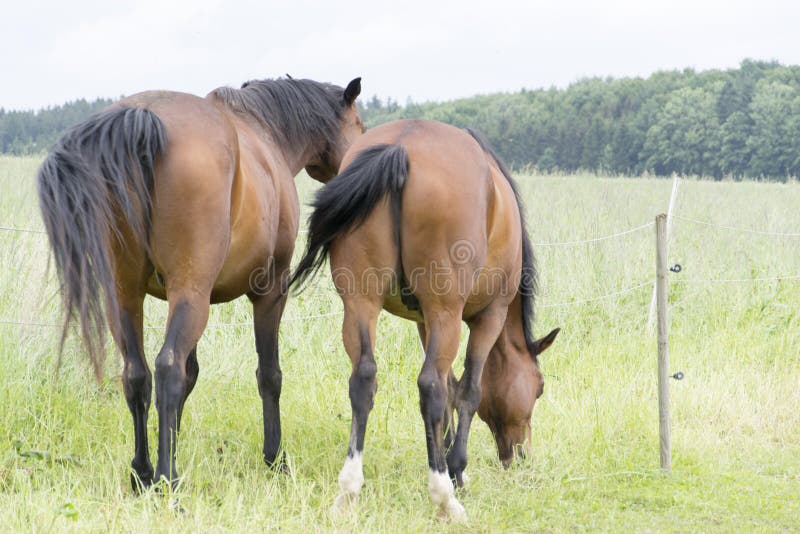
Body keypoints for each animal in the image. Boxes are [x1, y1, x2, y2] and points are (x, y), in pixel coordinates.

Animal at [36, 76, 364, 490]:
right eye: (360, 126)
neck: (265, 133)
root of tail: (142, 120)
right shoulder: (270, 293)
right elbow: (268, 375)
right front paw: (275, 458)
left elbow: (190, 376)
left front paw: (174, 441)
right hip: (189, 295)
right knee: (167, 368)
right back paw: (167, 478)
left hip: (128, 296)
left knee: (138, 374)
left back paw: (142, 471)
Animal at [290, 119, 559, 521]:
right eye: (539, 388)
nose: (522, 455)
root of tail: (402, 146)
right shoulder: (485, 317)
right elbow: (466, 391)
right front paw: (456, 468)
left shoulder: (424, 321)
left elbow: (449, 391)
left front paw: (445, 458)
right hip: (445, 312)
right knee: (430, 386)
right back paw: (444, 497)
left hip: (361, 303)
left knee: (364, 379)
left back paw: (349, 490)